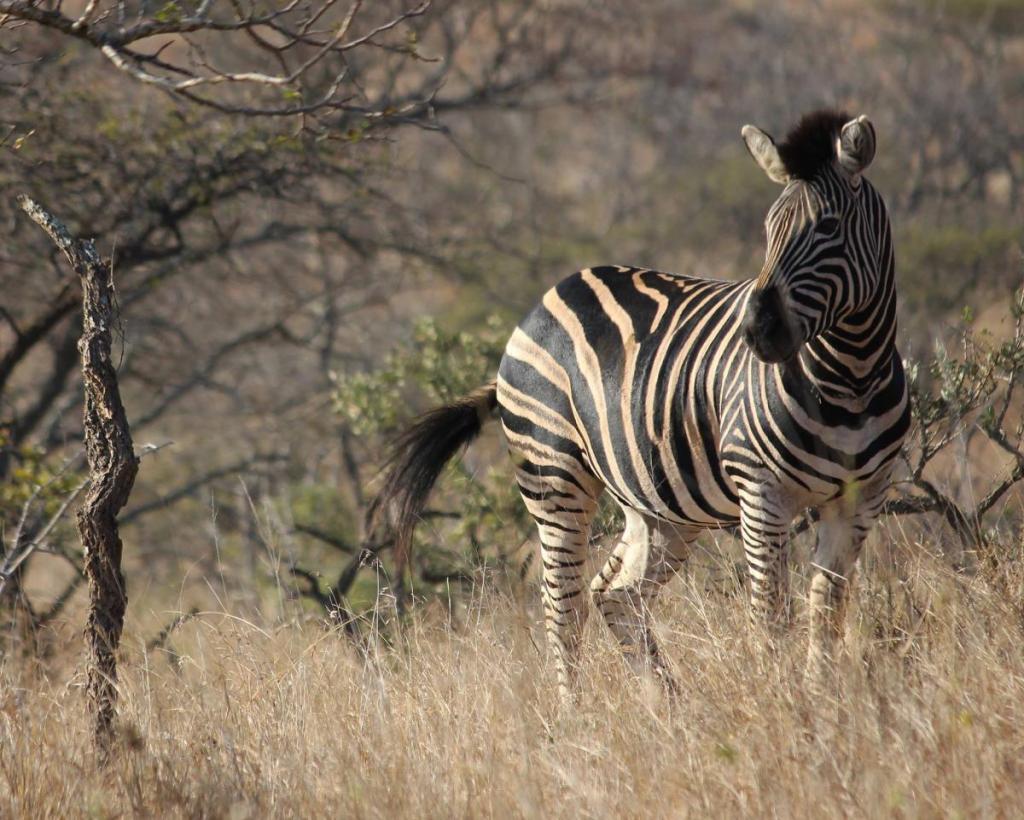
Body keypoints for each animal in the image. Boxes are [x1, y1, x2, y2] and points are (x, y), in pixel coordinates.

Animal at [369, 109, 910, 700]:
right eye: (769, 230)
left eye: (827, 227)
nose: (755, 331)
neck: (851, 378)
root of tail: (552, 292)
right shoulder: (761, 493)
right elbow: (769, 616)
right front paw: (780, 702)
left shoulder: (861, 499)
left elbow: (827, 609)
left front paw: (822, 700)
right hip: (555, 478)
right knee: (564, 609)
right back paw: (576, 715)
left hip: (655, 502)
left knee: (617, 594)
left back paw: (668, 704)